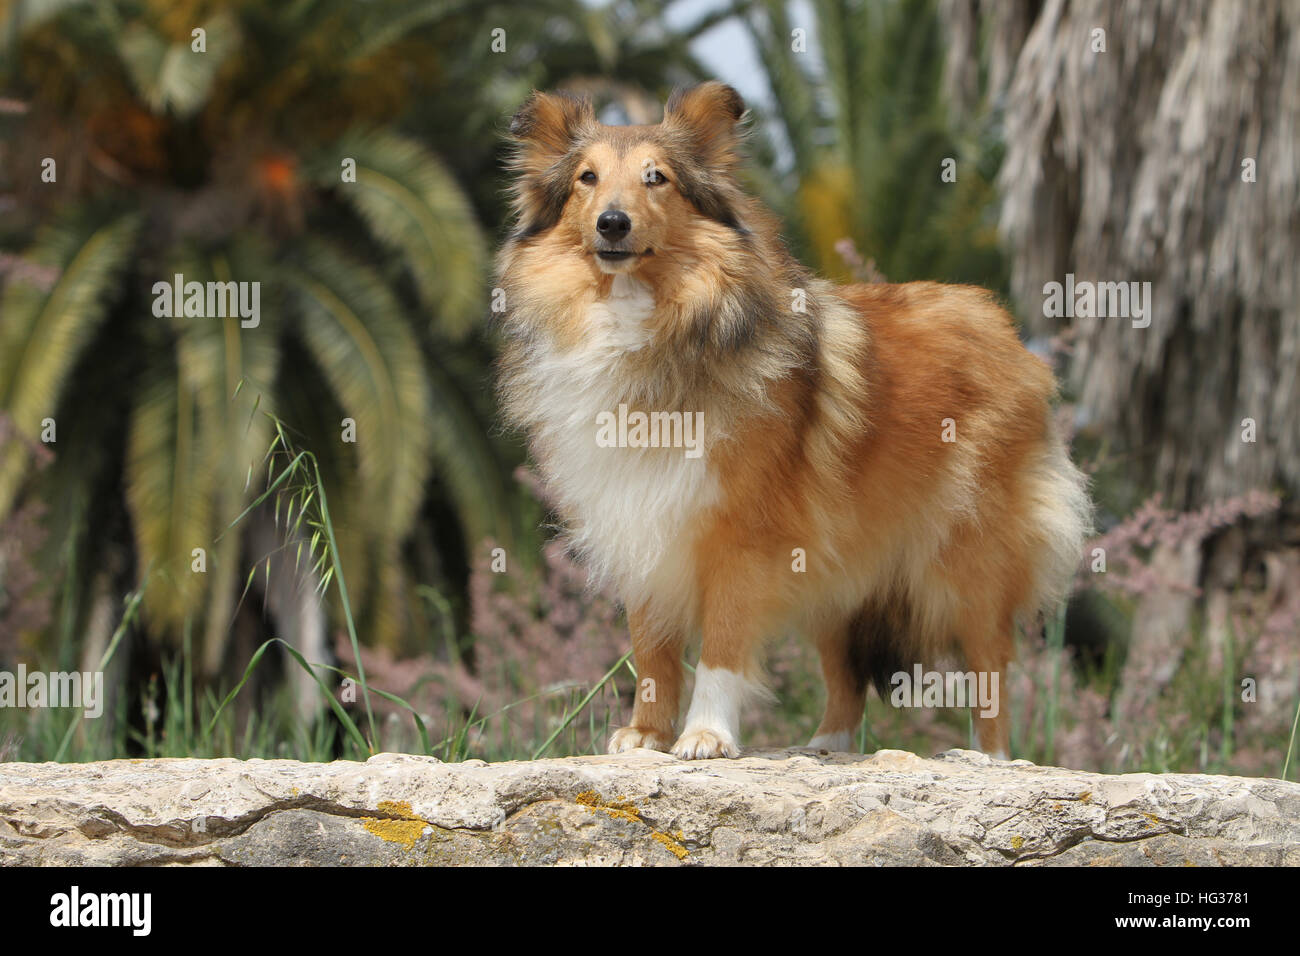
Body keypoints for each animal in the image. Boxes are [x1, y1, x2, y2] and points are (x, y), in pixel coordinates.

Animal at [491, 82, 1092, 759]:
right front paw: (645, 735)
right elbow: (652, 650)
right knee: (845, 675)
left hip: (969, 562)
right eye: (586, 179)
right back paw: (826, 747)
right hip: (838, 571)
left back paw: (984, 758)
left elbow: (723, 646)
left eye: (657, 178)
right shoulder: (642, 524)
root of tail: (1007, 331)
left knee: (991, 668)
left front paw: (705, 736)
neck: (651, 329)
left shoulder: (742, 538)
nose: (612, 223)